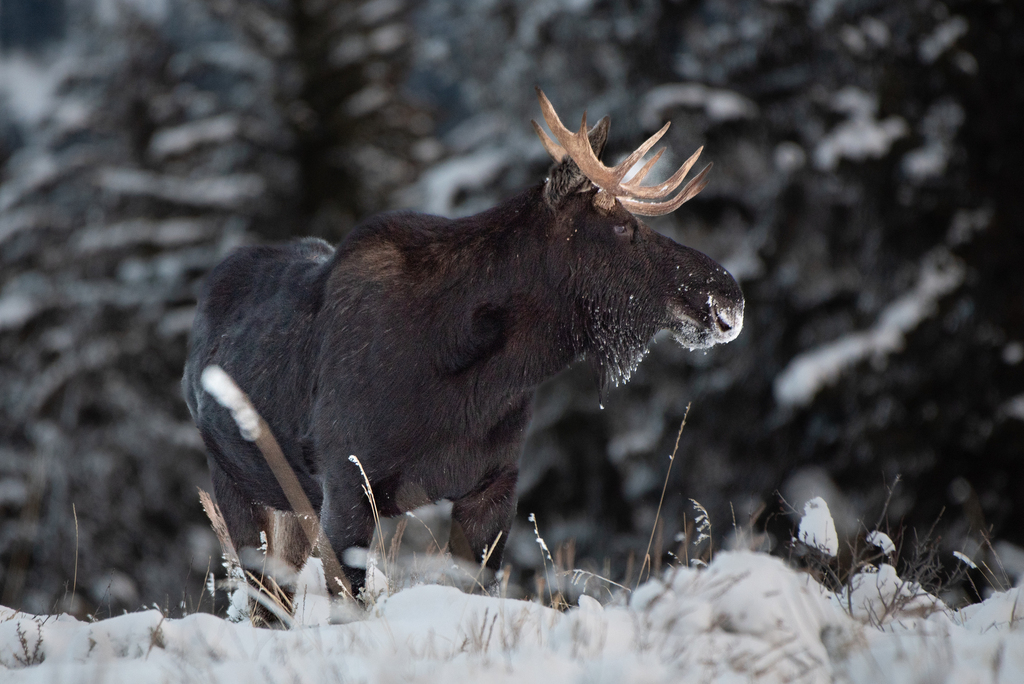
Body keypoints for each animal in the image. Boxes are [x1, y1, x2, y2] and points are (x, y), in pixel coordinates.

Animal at [182, 88, 744, 619]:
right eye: (623, 226)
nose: (729, 297)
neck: (473, 378)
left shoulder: (493, 484)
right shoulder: (345, 481)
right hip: (237, 483)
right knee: (262, 598)